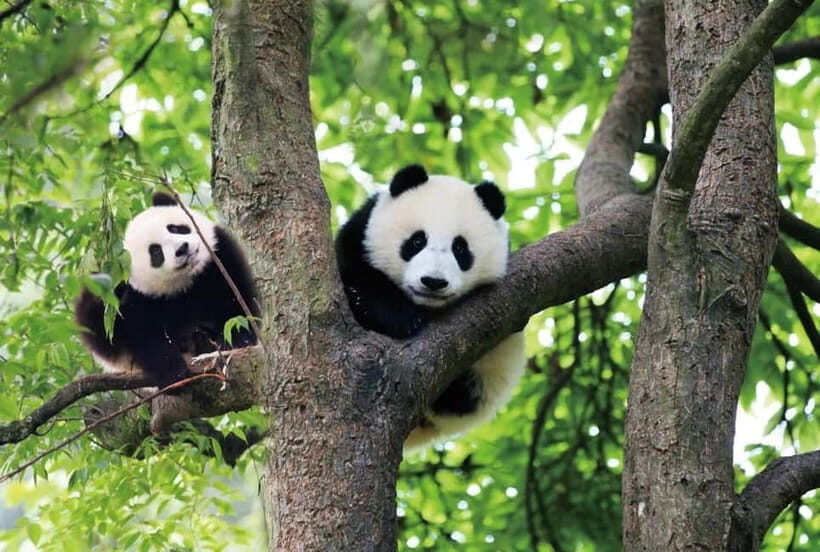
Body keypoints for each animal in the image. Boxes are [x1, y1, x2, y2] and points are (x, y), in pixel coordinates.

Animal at [75, 191, 259, 390]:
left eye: (175, 228)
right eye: (156, 252)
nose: (182, 248)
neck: (187, 282)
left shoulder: (219, 259)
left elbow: (236, 302)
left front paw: (239, 340)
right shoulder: (139, 298)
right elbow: (145, 335)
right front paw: (173, 374)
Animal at [336, 164, 525, 449]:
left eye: (460, 248)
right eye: (417, 241)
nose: (433, 282)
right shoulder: (361, 233)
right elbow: (354, 267)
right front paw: (395, 314)